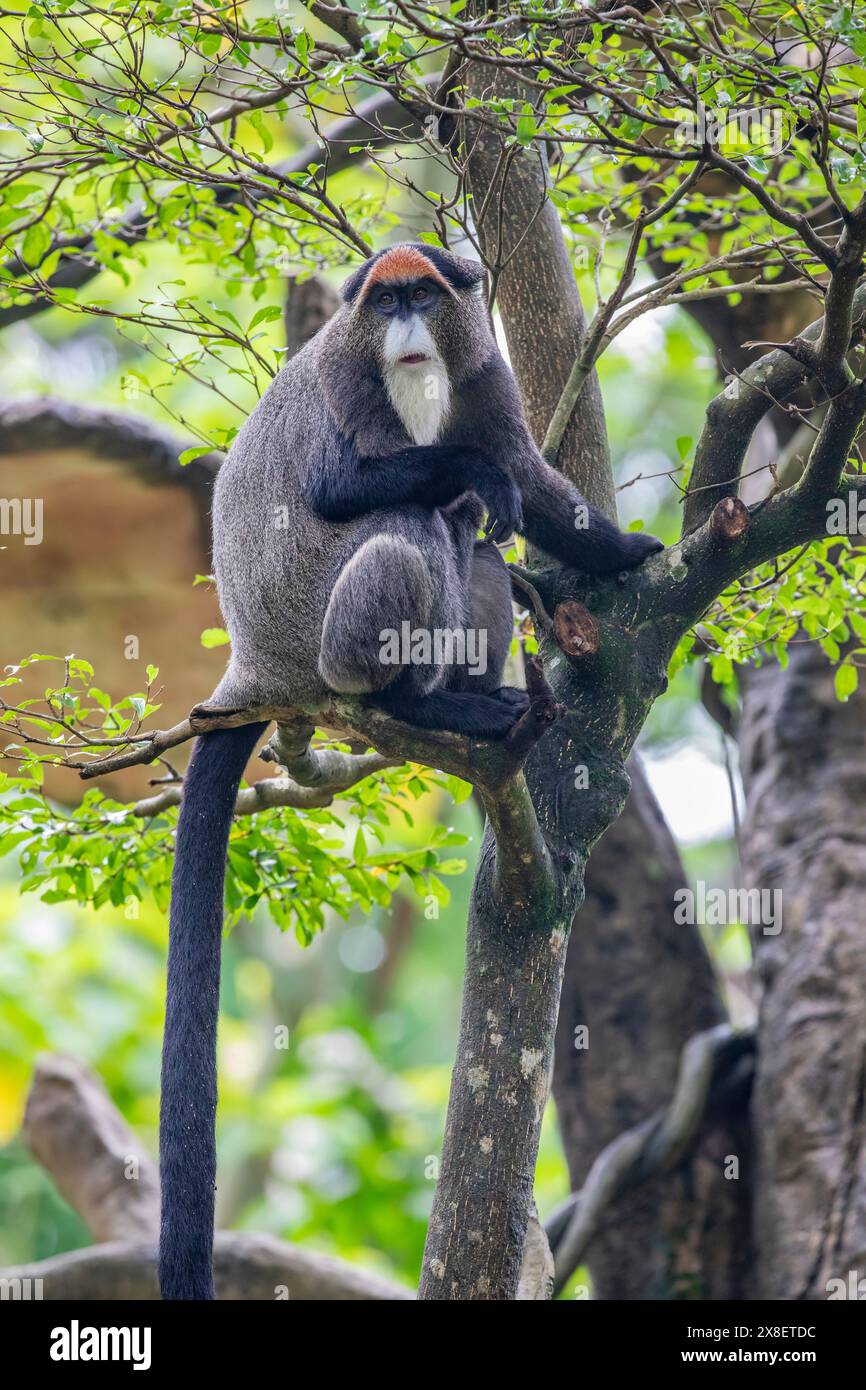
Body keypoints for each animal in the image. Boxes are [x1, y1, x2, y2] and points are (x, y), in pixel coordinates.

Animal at [158, 243, 663, 1299]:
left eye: (424, 295)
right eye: (383, 301)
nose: (404, 330)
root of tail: (254, 665)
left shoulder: (488, 375)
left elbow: (526, 482)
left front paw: (626, 550)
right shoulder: (345, 384)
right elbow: (352, 483)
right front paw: (467, 475)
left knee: (473, 545)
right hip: (323, 631)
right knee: (408, 518)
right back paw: (420, 704)